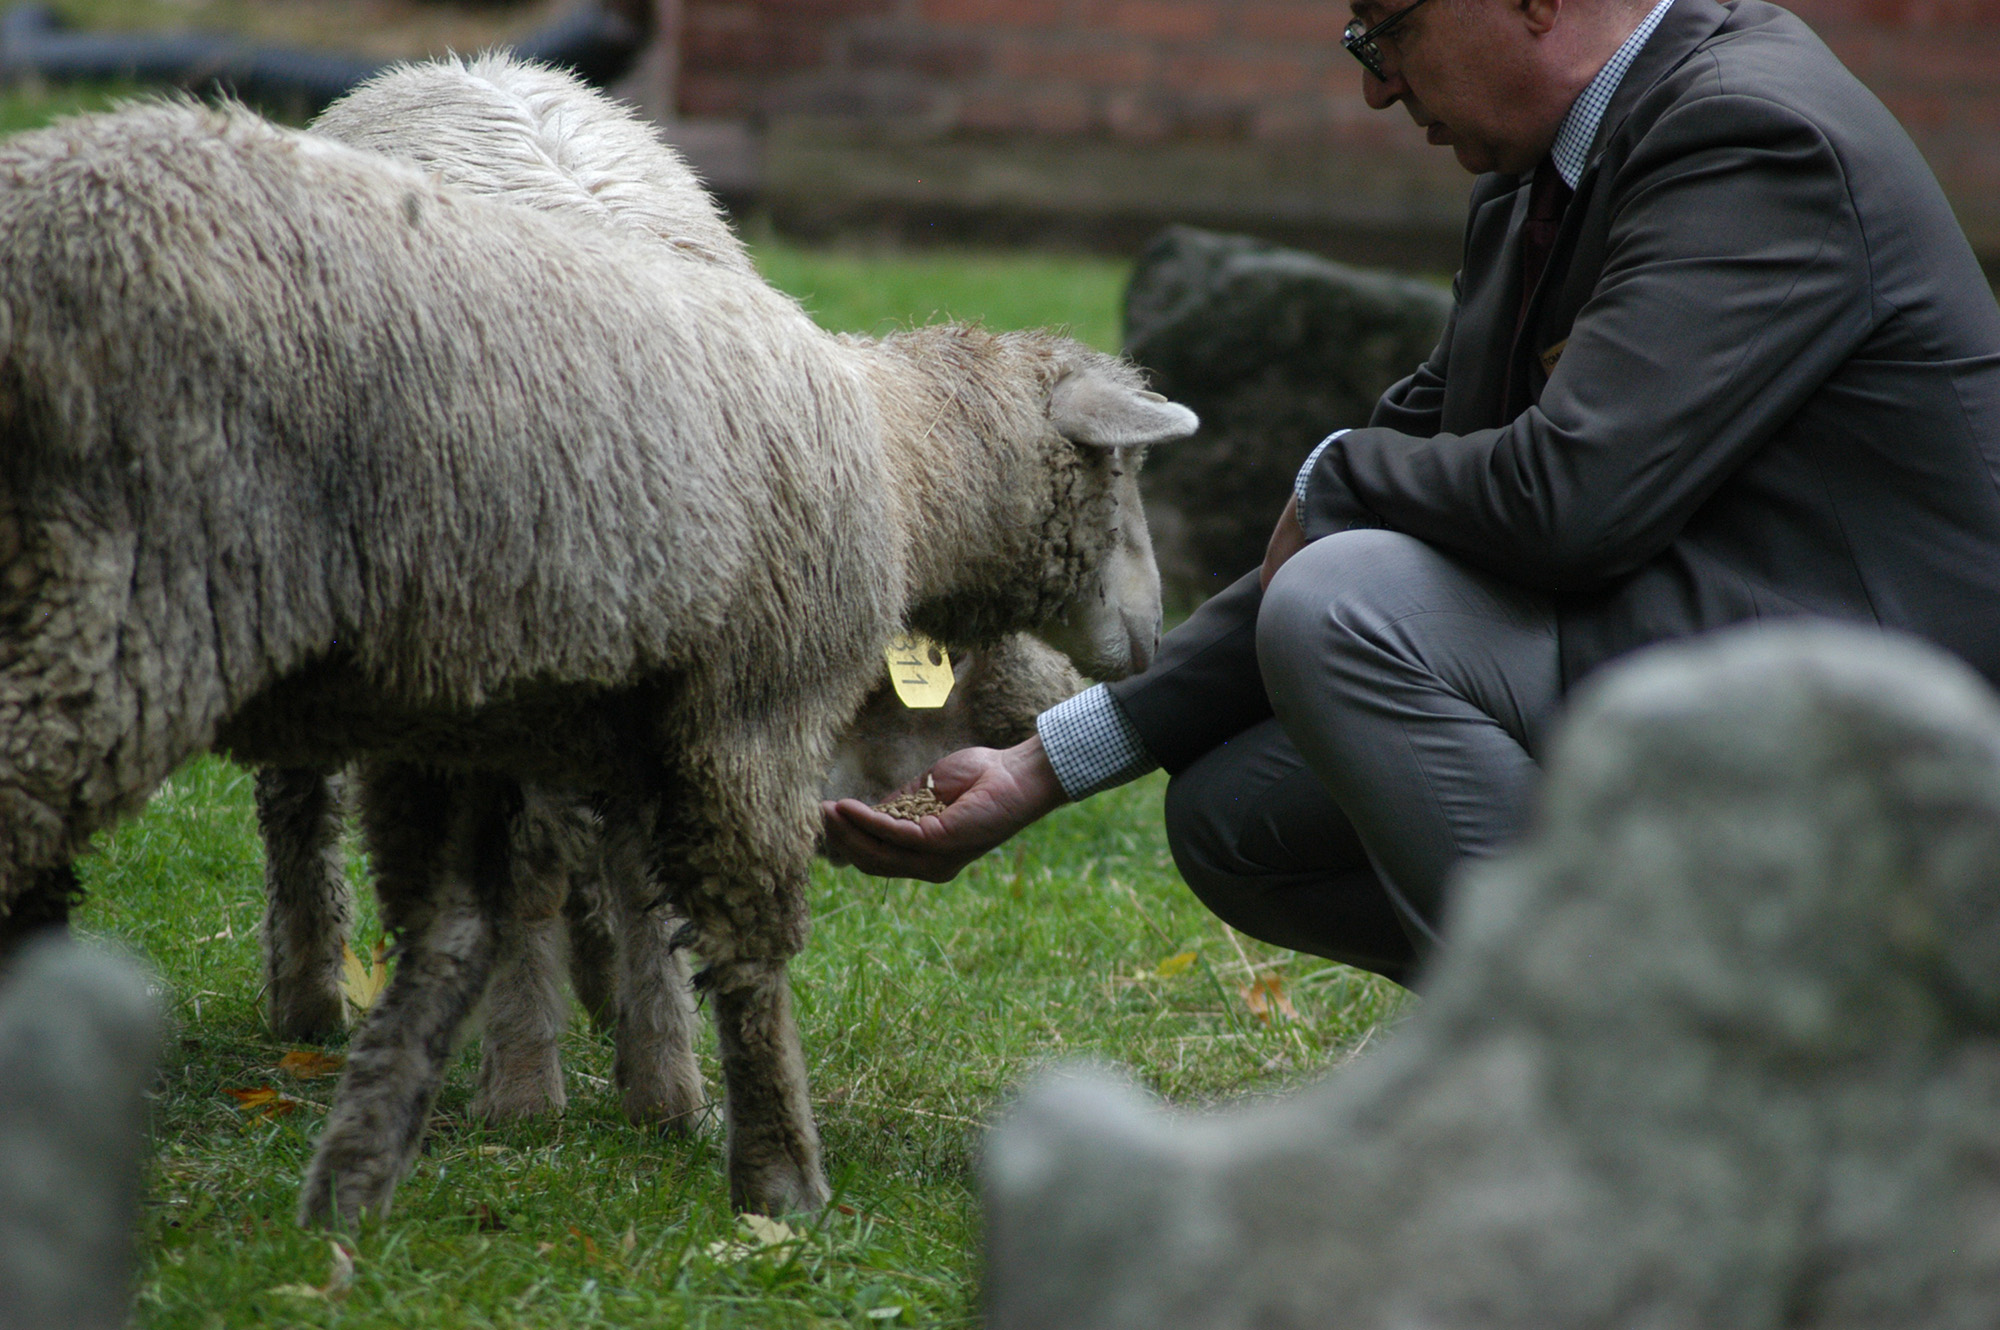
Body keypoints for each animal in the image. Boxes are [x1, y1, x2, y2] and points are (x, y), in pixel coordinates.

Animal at [0, 92, 1193, 1224]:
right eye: (1122, 479)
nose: (1149, 647)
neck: (902, 469)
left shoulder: (563, 713)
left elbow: (509, 916)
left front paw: (614, 1093)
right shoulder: (745, 710)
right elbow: (739, 942)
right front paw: (764, 1174)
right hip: (134, 599)